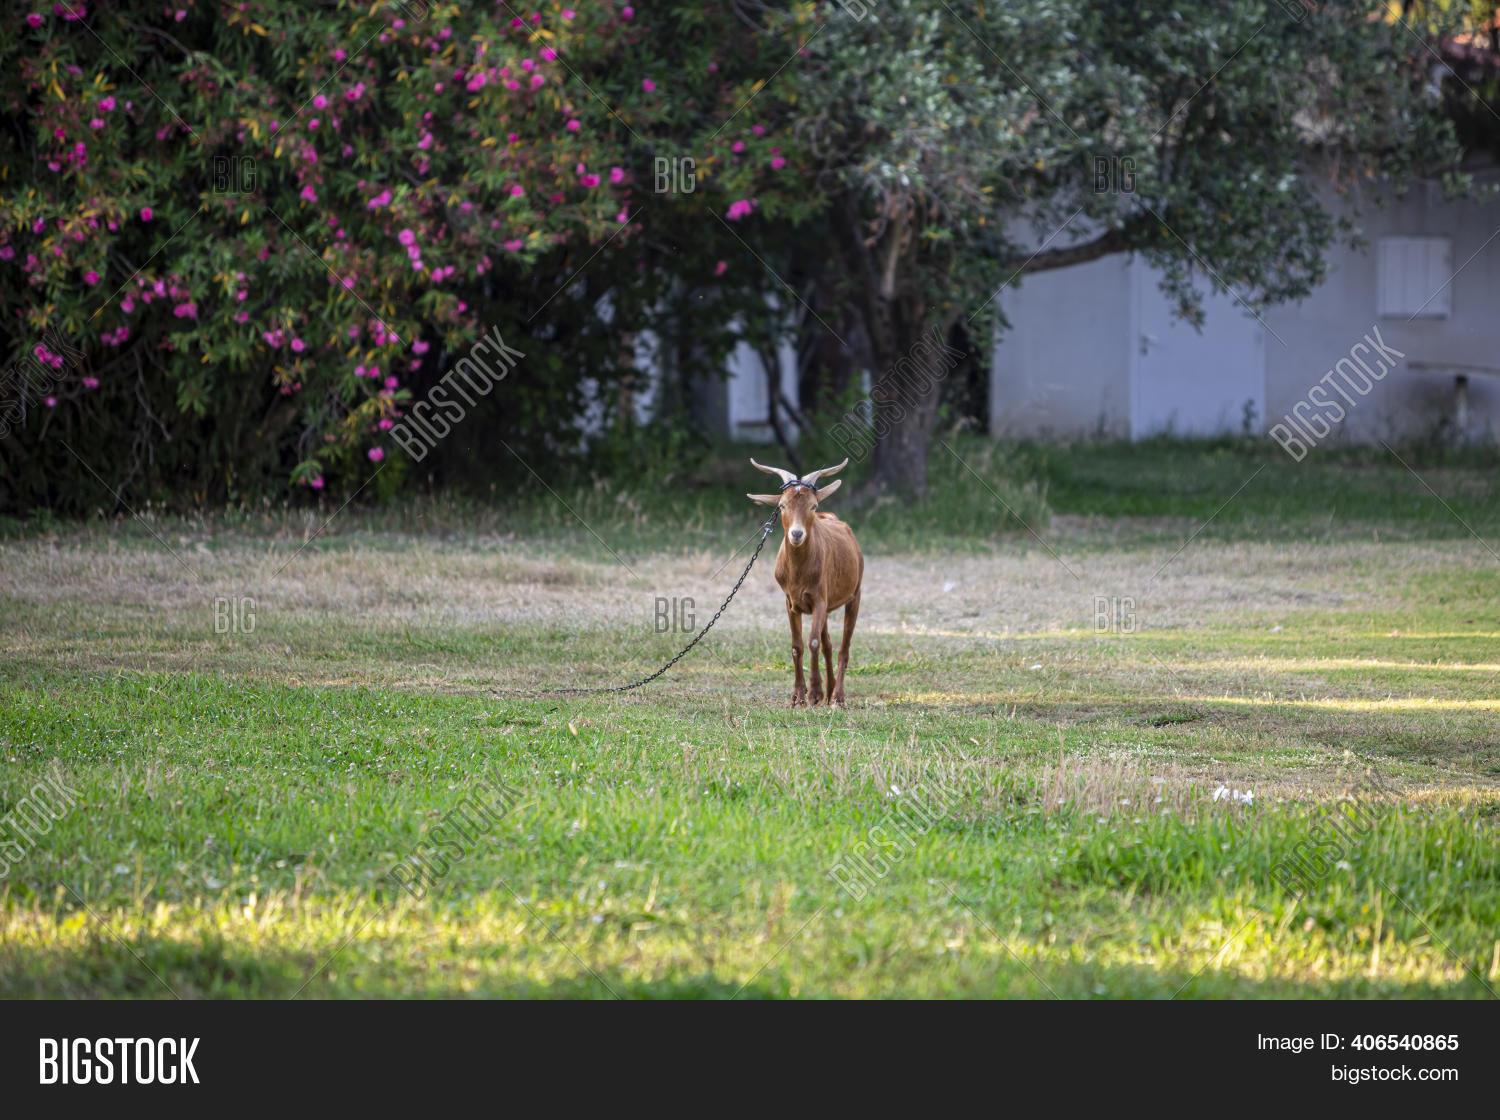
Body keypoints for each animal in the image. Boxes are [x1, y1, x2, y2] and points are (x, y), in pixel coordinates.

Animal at [748, 458, 864, 707]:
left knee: (843, 648)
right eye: (782, 506)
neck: (799, 572)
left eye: (813, 506)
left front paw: (815, 693)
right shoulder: (791, 602)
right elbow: (797, 646)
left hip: (855, 595)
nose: (797, 534)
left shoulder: (819, 600)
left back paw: (837, 697)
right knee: (828, 644)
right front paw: (798, 697)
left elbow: (813, 642)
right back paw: (830, 691)